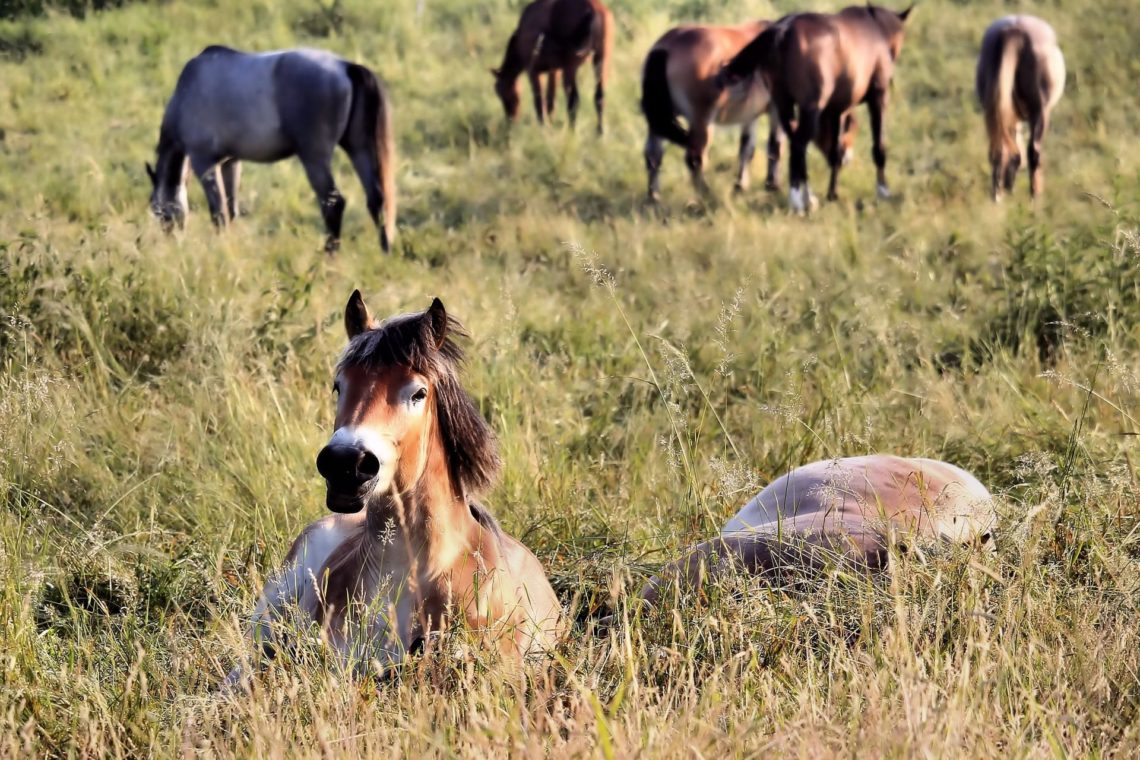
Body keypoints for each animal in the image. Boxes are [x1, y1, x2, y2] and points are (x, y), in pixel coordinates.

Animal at [147, 46, 396, 253]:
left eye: (158, 212)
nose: (170, 243)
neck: (185, 96)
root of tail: (345, 66)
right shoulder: (231, 162)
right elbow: (231, 209)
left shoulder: (204, 162)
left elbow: (219, 213)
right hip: (359, 149)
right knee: (376, 199)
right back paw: (385, 250)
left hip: (314, 158)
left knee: (333, 204)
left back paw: (330, 254)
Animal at [492, 0, 613, 134]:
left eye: (501, 93)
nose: (511, 119)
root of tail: (592, 8)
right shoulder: (554, 71)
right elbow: (550, 101)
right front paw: (550, 123)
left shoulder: (533, 72)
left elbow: (539, 102)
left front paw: (544, 126)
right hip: (601, 60)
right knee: (599, 96)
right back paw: (600, 132)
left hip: (570, 68)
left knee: (573, 100)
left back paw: (571, 132)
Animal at [641, 21, 859, 202]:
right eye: (849, 127)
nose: (845, 158)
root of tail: (665, 47)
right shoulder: (776, 110)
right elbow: (775, 146)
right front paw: (772, 185)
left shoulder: (750, 115)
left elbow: (747, 149)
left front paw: (740, 185)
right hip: (702, 120)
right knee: (695, 157)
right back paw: (706, 194)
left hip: (659, 121)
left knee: (653, 155)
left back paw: (654, 196)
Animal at [719, 5, 912, 214]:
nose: (849, 159)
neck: (875, 31)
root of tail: (782, 30)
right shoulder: (878, 97)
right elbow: (878, 146)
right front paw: (883, 191)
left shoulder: (837, 110)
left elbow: (835, 152)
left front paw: (832, 194)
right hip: (810, 109)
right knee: (798, 145)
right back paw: (797, 202)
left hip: (785, 106)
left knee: (796, 146)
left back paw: (808, 198)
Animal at [976, 16, 1065, 202]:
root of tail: (1013, 31)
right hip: (1040, 112)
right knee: (1034, 151)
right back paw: (1035, 196)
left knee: (1000, 148)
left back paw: (997, 195)